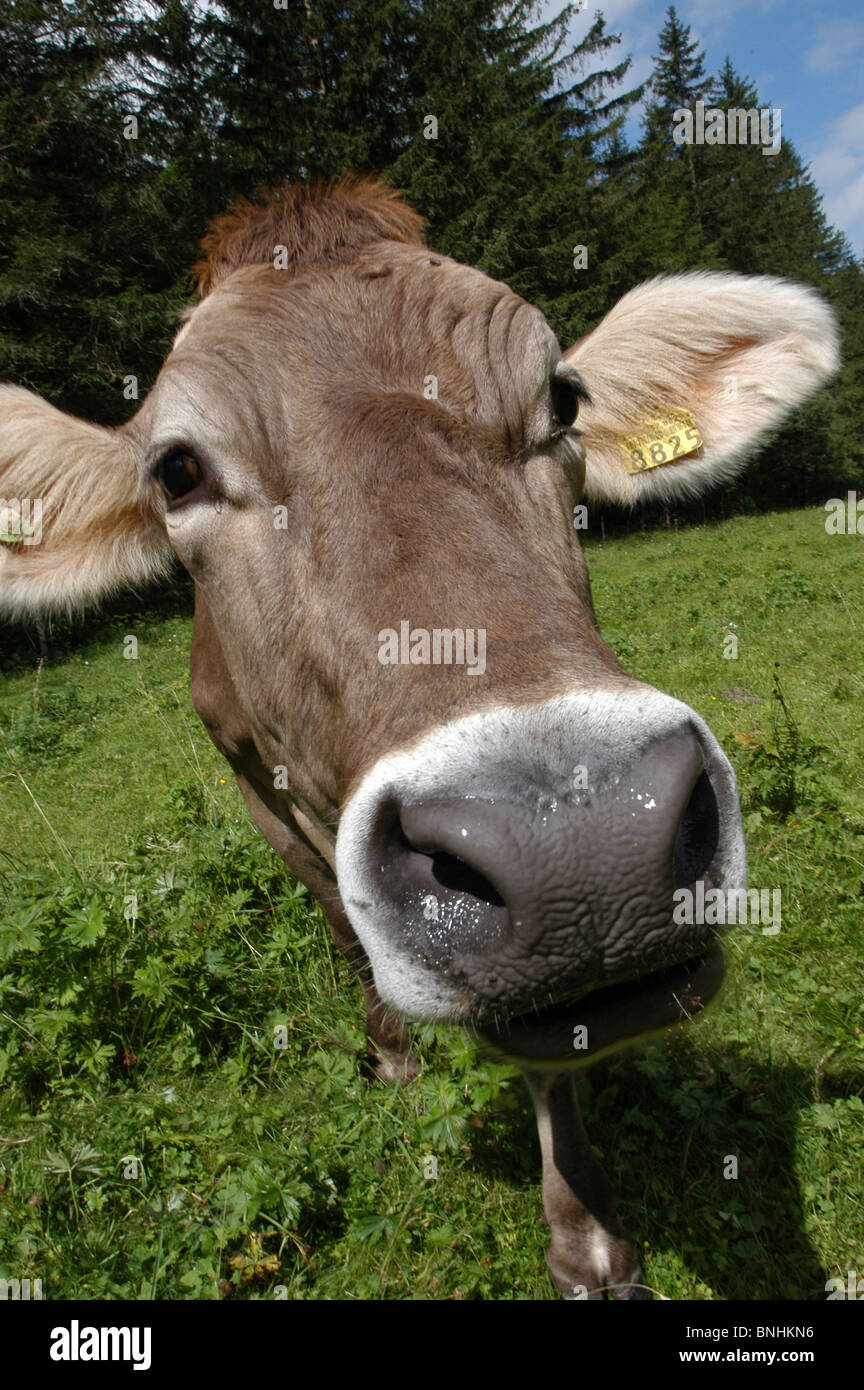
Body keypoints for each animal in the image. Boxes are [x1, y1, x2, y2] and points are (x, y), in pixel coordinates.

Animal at [0, 176, 839, 1299]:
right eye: (176, 471)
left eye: (564, 400)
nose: (586, 842)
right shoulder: (251, 780)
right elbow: (338, 913)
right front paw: (395, 1057)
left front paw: (590, 1240)